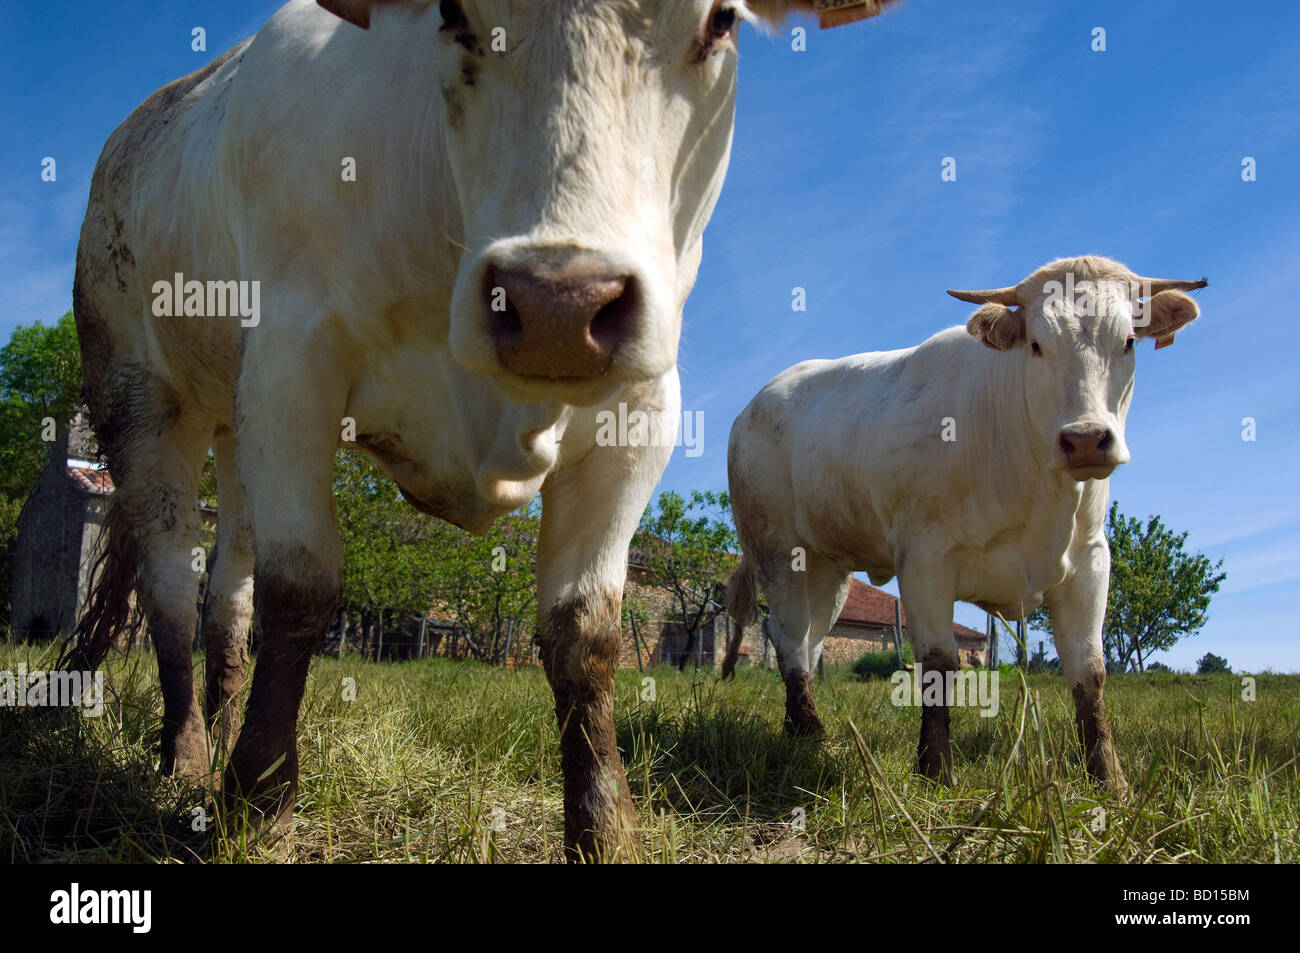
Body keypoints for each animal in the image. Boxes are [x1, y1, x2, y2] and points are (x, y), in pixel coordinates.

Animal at [65, 0, 904, 862]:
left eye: (722, 21)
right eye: (453, 15)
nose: (558, 303)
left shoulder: (642, 408)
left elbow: (583, 628)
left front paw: (604, 826)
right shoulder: (291, 357)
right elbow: (299, 587)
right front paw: (260, 804)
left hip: (234, 426)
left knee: (226, 595)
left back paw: (224, 724)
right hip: (140, 393)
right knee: (170, 585)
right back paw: (190, 756)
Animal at [724, 256, 1207, 791]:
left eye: (1127, 341)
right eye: (1036, 345)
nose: (1085, 439)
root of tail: (755, 405)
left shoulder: (1089, 562)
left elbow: (1090, 670)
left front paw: (1109, 778)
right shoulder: (924, 561)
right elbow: (939, 666)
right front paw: (936, 770)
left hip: (830, 565)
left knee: (810, 642)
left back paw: (804, 727)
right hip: (777, 549)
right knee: (788, 636)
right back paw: (806, 728)